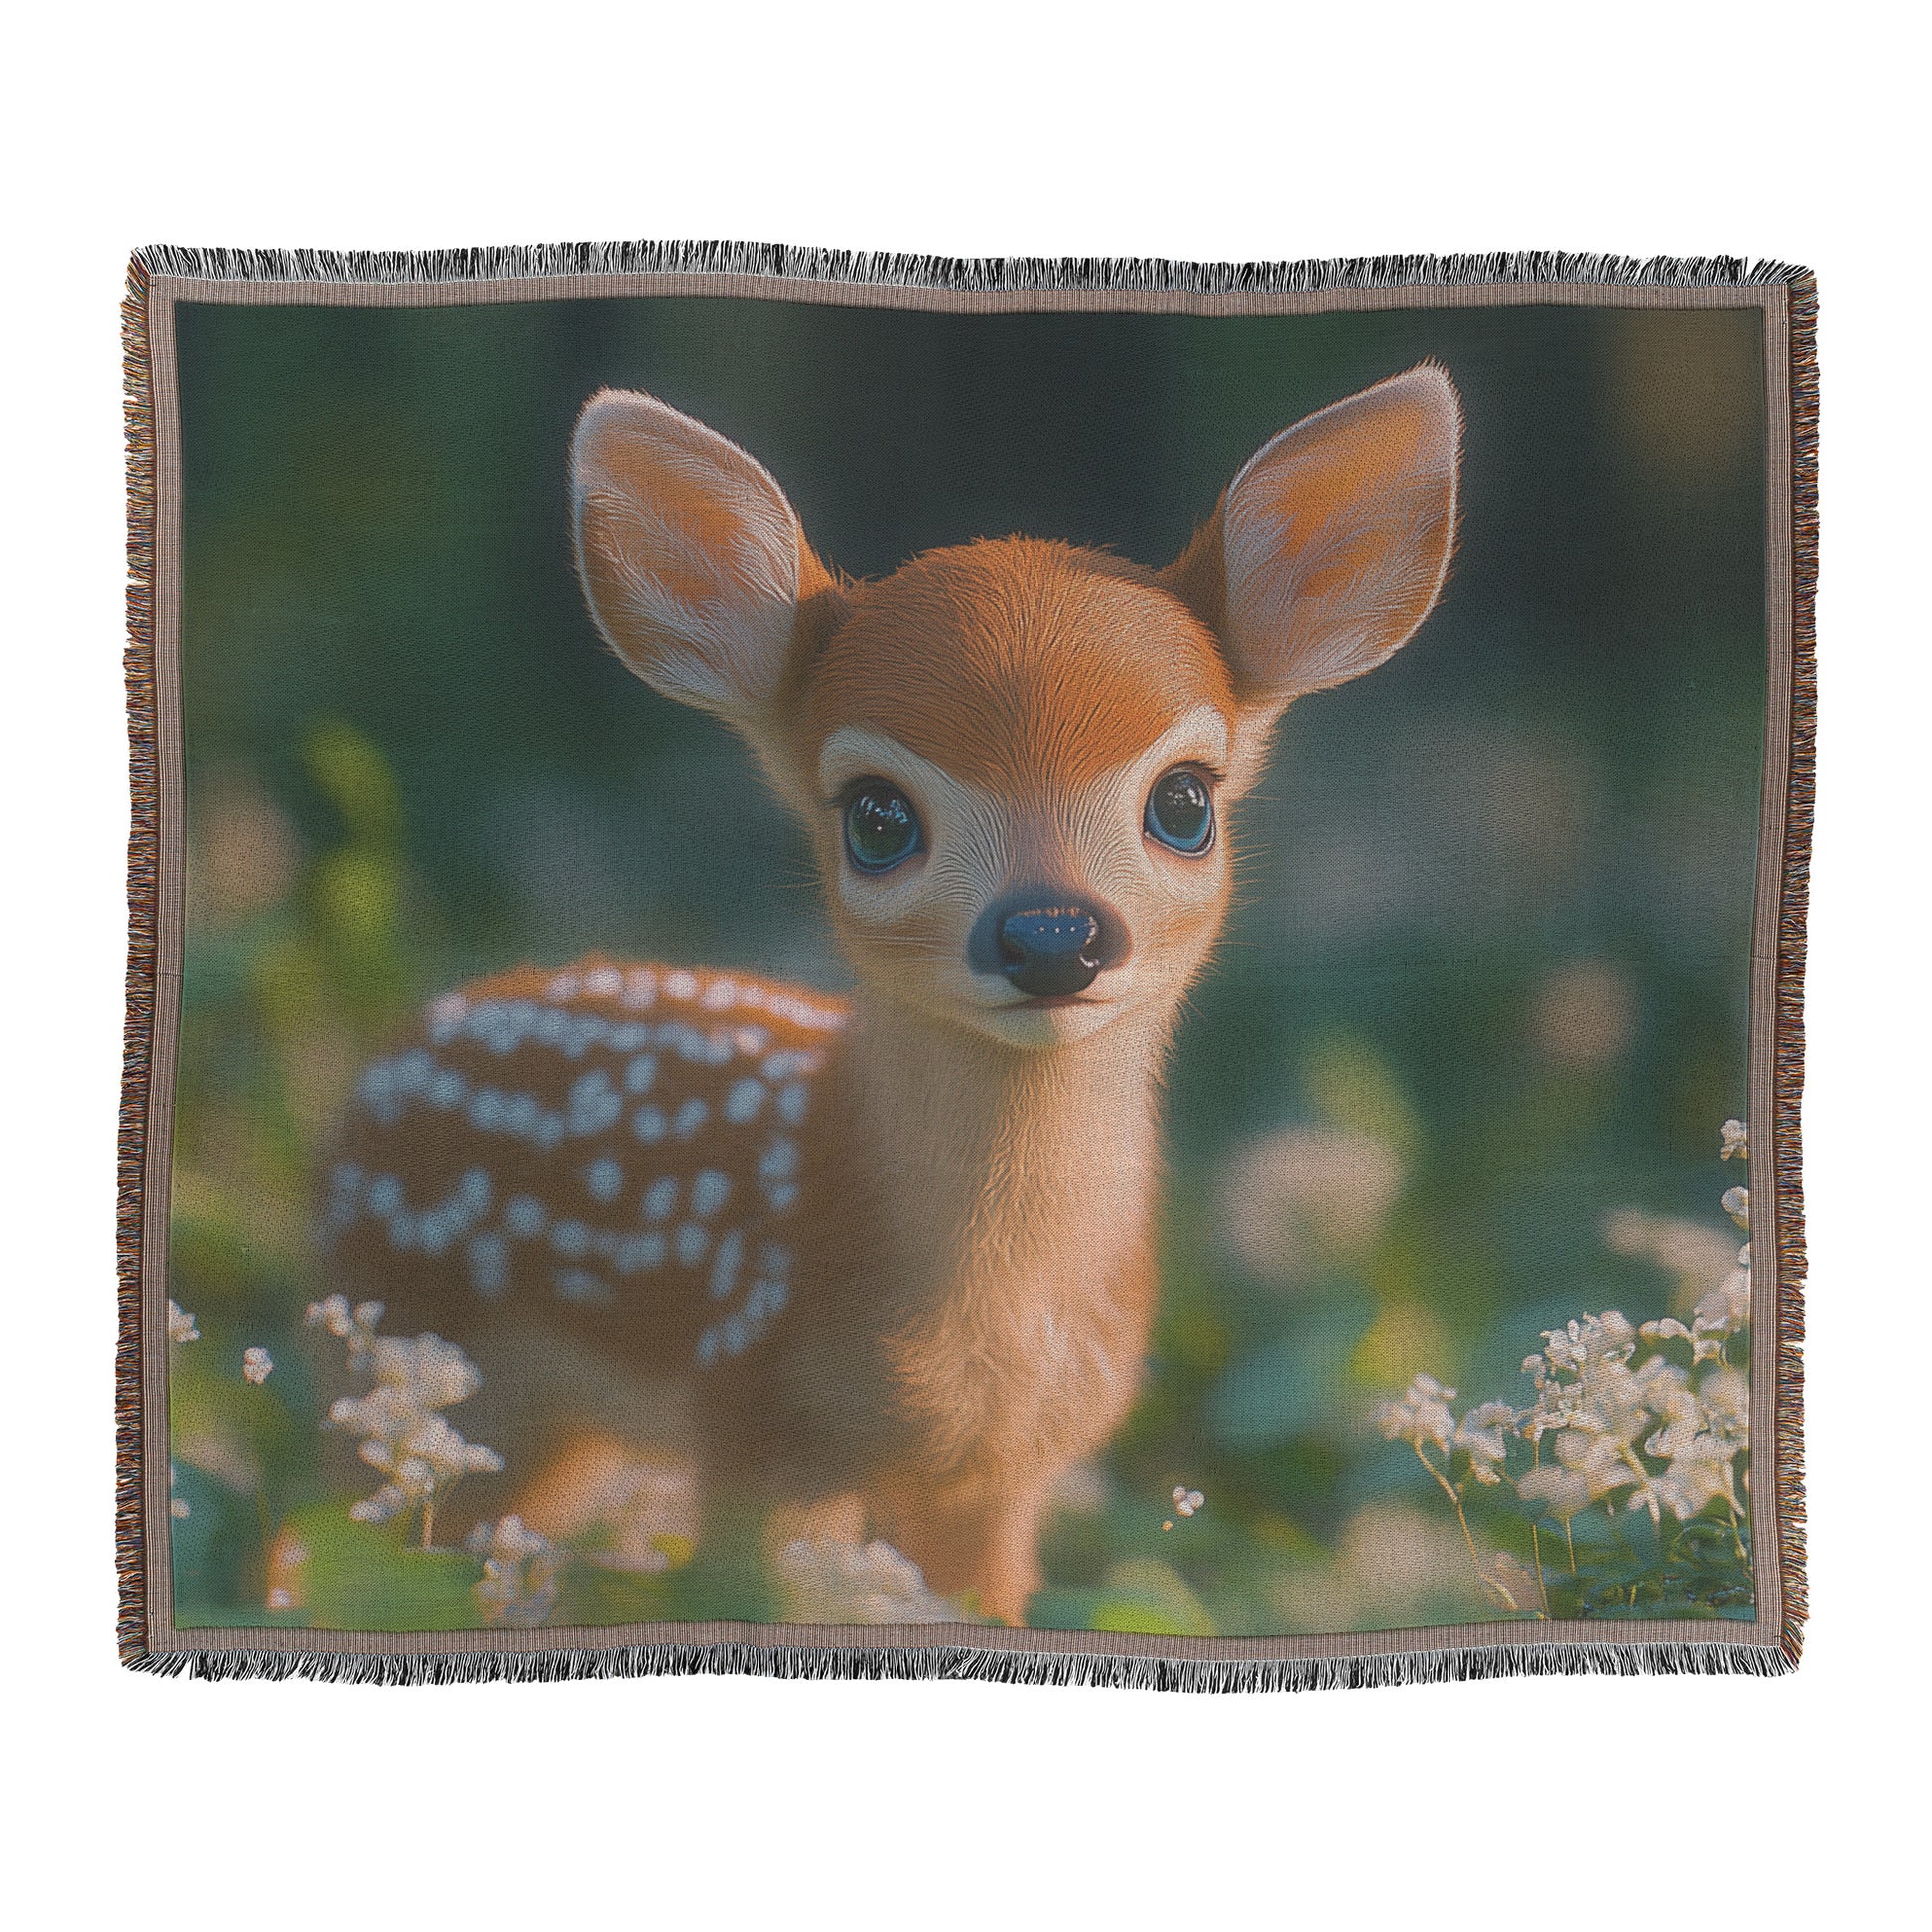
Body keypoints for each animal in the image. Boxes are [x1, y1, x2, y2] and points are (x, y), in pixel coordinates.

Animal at [319, 365, 1461, 1624]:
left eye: (1182, 800)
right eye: (876, 815)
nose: (1050, 934)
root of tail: (388, 1059)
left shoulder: (1003, 1471)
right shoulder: (756, 1409)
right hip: (415, 1343)